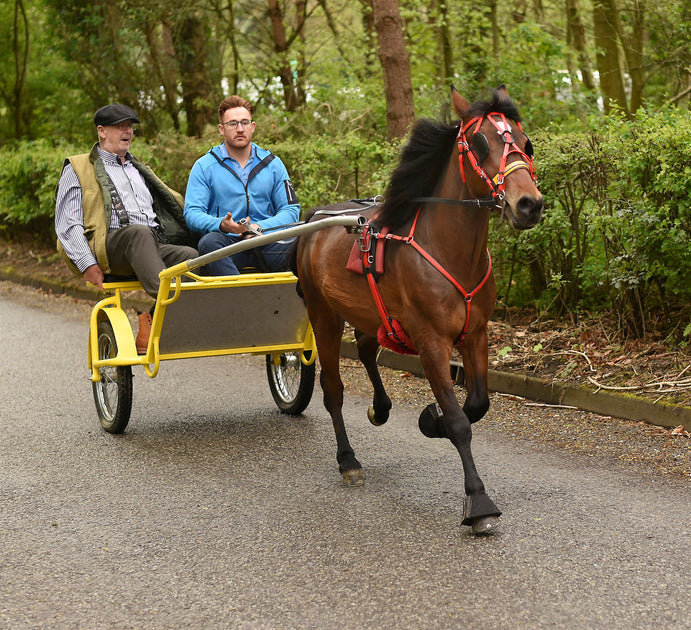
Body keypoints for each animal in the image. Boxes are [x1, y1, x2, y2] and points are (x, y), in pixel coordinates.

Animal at [292, 85, 543, 534]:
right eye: (479, 142)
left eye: (525, 141)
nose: (528, 204)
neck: (448, 249)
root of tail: (317, 219)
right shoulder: (430, 342)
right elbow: (461, 423)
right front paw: (478, 502)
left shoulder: (476, 334)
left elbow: (477, 404)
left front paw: (432, 418)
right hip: (324, 313)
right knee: (333, 389)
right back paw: (347, 460)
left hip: (368, 313)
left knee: (368, 350)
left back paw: (379, 407)